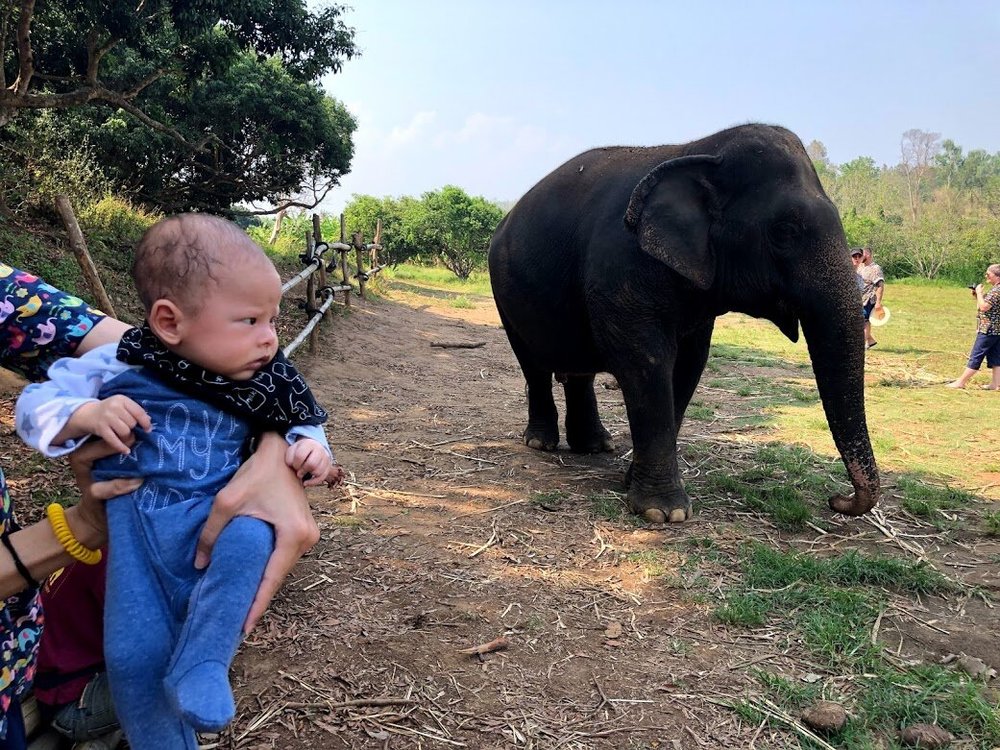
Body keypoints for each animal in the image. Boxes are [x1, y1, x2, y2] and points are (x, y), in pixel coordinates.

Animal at [488, 124, 879, 523]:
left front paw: (632, 482)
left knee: (579, 371)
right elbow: (646, 362)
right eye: (786, 231)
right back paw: (541, 443)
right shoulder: (620, 269)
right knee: (532, 364)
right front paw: (664, 513)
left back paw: (596, 446)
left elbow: (690, 364)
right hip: (503, 290)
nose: (837, 500)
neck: (701, 149)